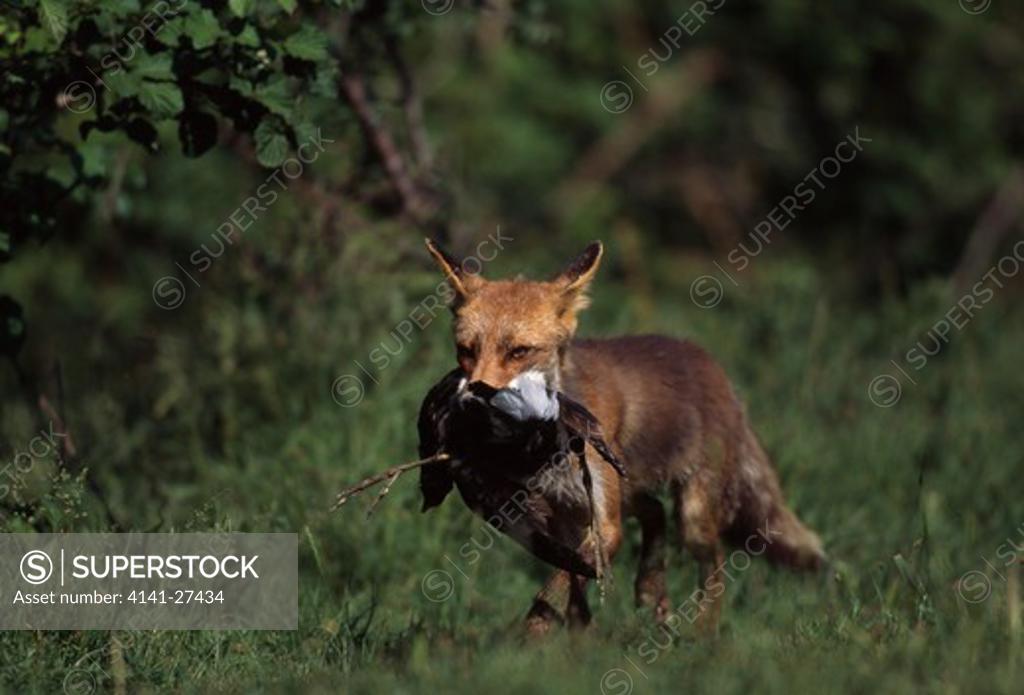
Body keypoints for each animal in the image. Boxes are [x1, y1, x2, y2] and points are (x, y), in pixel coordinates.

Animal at [424, 238, 826, 636]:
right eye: (466, 351)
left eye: (519, 351)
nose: (472, 400)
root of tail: (716, 370)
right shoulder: (556, 516)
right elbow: (571, 583)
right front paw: (572, 633)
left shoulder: (603, 523)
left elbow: (559, 585)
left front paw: (533, 637)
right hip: (625, 494)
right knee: (655, 511)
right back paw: (650, 589)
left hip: (691, 515)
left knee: (712, 558)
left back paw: (702, 632)